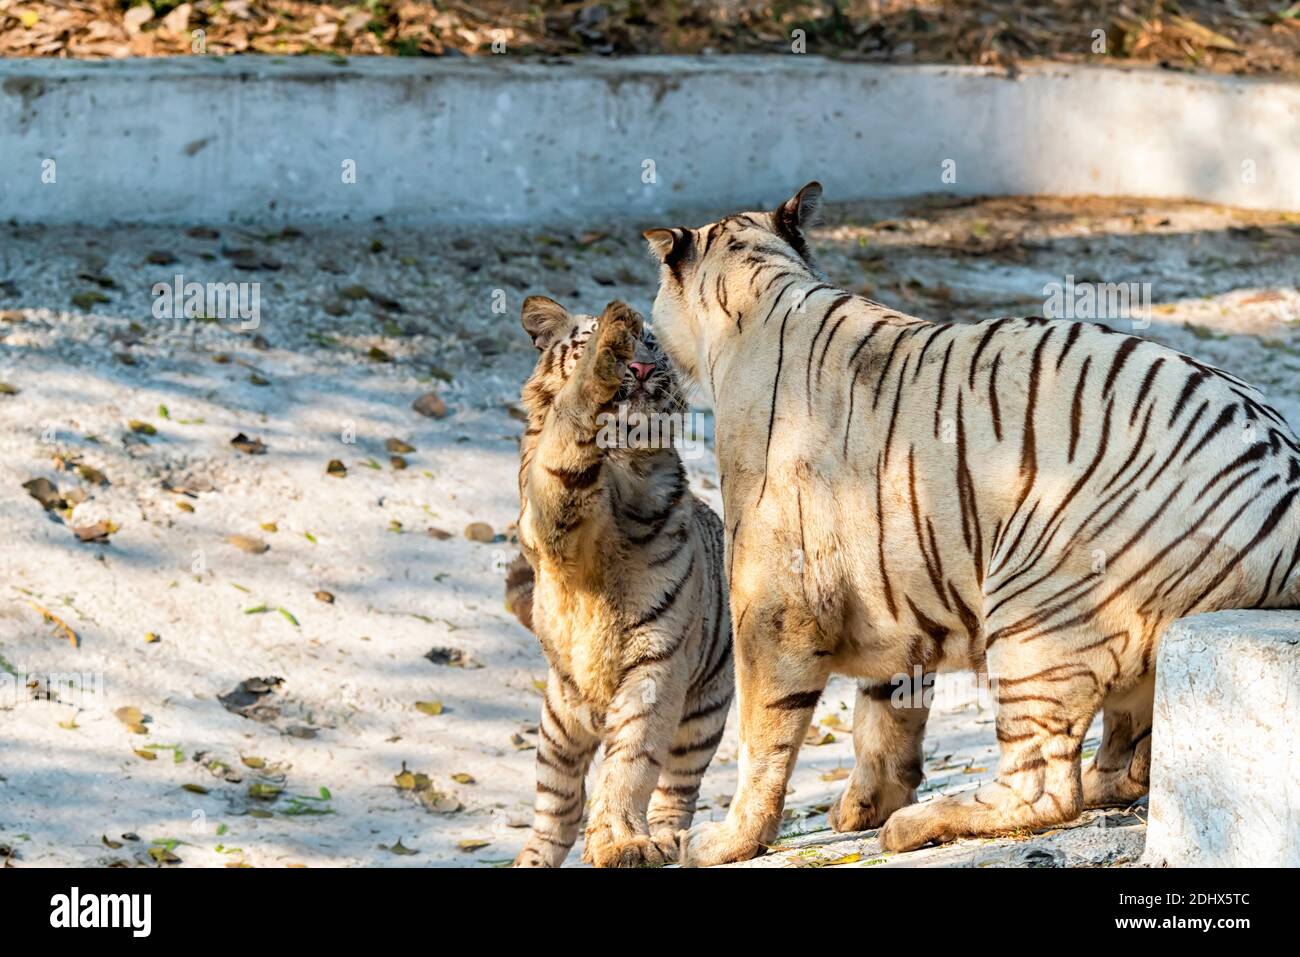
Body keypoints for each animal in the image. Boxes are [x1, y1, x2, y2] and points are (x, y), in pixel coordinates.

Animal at [507, 296, 733, 868]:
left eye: (654, 345)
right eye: (587, 338)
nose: (642, 368)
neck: (618, 460)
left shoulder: (657, 664)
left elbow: (630, 764)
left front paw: (623, 842)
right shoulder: (554, 515)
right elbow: (568, 432)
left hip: (705, 711)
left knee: (676, 788)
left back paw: (670, 837)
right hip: (556, 727)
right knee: (557, 809)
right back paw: (531, 859)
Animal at [640, 182, 1300, 866]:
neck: (762, 281)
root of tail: (1285, 476)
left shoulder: (775, 605)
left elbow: (763, 730)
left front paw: (728, 838)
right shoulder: (894, 589)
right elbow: (884, 716)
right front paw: (864, 804)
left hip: (1037, 606)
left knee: (1045, 788)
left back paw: (919, 824)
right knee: (1127, 759)